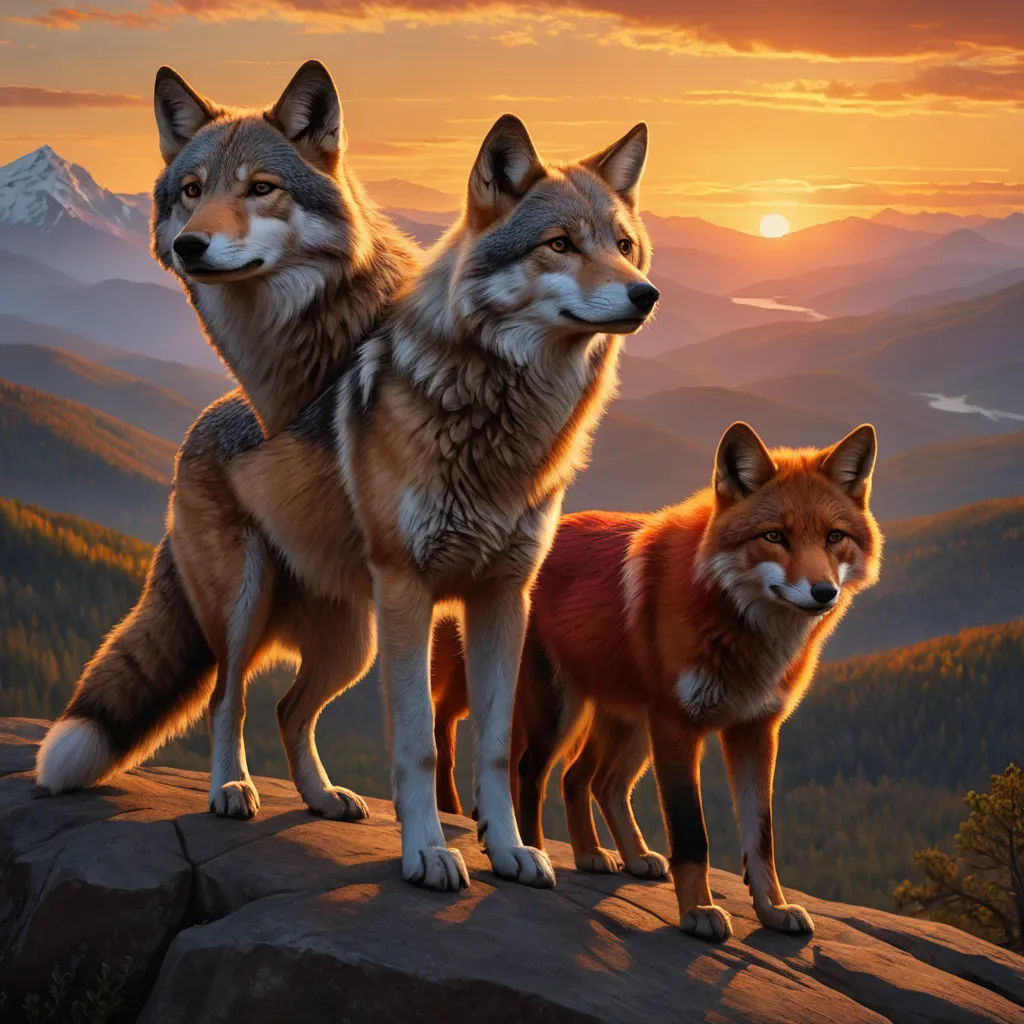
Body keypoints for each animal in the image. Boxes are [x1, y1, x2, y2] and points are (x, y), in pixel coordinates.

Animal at [218, 113, 660, 891]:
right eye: (561, 244)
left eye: (624, 245)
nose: (646, 294)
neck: (499, 425)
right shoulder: (407, 590)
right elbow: (421, 742)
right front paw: (427, 852)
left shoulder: (503, 597)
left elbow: (494, 747)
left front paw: (510, 850)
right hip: (250, 608)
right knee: (228, 698)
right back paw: (231, 789)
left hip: (349, 644)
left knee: (288, 707)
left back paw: (322, 800)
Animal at [431, 421, 883, 932]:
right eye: (775, 536)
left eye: (833, 537)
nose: (823, 592)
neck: (739, 628)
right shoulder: (678, 724)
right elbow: (691, 834)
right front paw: (698, 911)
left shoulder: (755, 729)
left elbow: (761, 837)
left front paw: (773, 910)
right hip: (561, 714)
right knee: (532, 774)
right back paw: (536, 854)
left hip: (626, 725)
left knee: (587, 780)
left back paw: (605, 854)